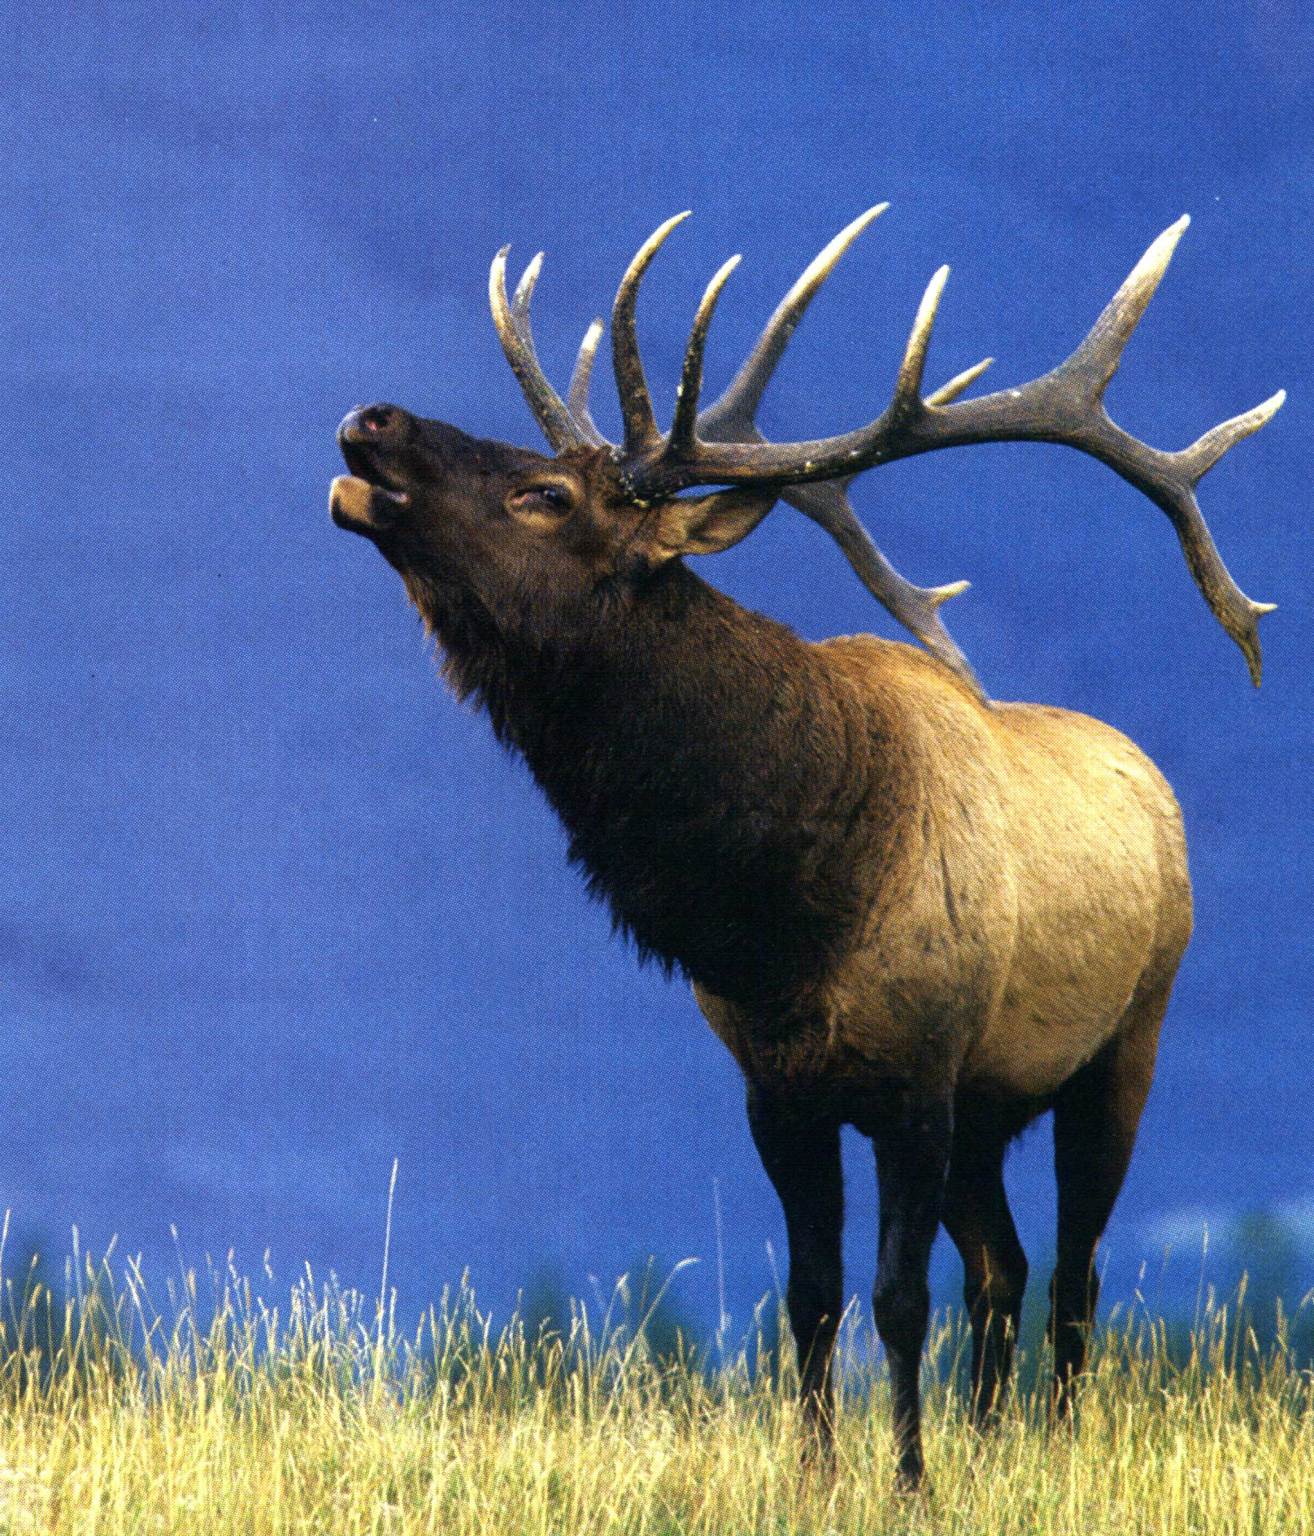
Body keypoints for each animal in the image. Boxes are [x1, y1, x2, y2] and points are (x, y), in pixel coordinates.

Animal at [329, 206, 1281, 1488]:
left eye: (545, 494)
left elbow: (897, 1299)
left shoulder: (918, 1078)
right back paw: (989, 1442)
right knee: (1006, 1266)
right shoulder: (779, 1089)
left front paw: (909, 1482)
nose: (374, 418)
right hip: (990, 1107)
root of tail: (1153, 780)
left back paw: (1039, 1448)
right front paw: (820, 1472)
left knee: (1074, 1276)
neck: (785, 913)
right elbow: (813, 1296)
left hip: (1126, 1038)